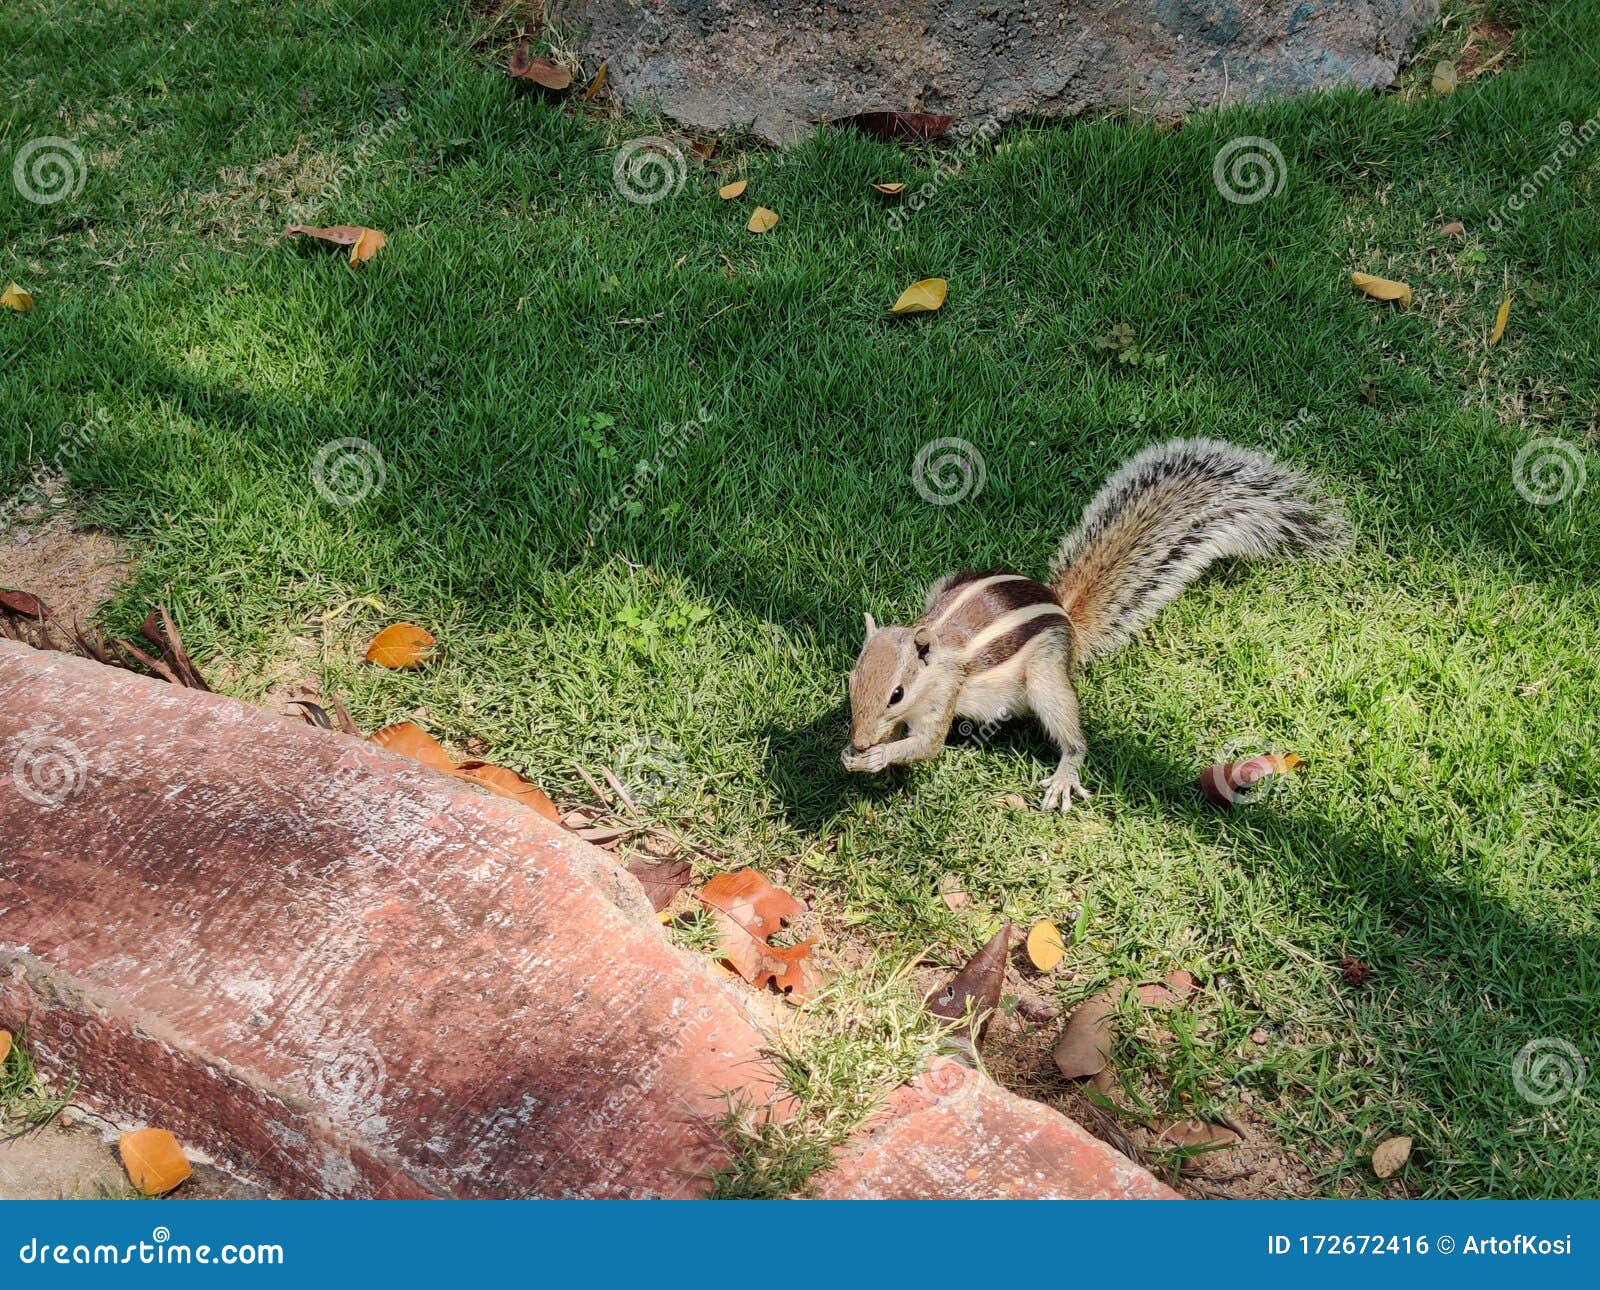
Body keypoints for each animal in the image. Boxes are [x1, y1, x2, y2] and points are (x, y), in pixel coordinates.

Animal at [842, 437, 1347, 810]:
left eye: (896, 694)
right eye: (852, 681)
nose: (859, 739)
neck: (935, 651)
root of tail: (1063, 609)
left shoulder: (944, 696)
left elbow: (927, 746)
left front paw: (878, 755)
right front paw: (856, 751)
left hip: (1046, 677)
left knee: (1072, 735)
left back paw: (1065, 774)